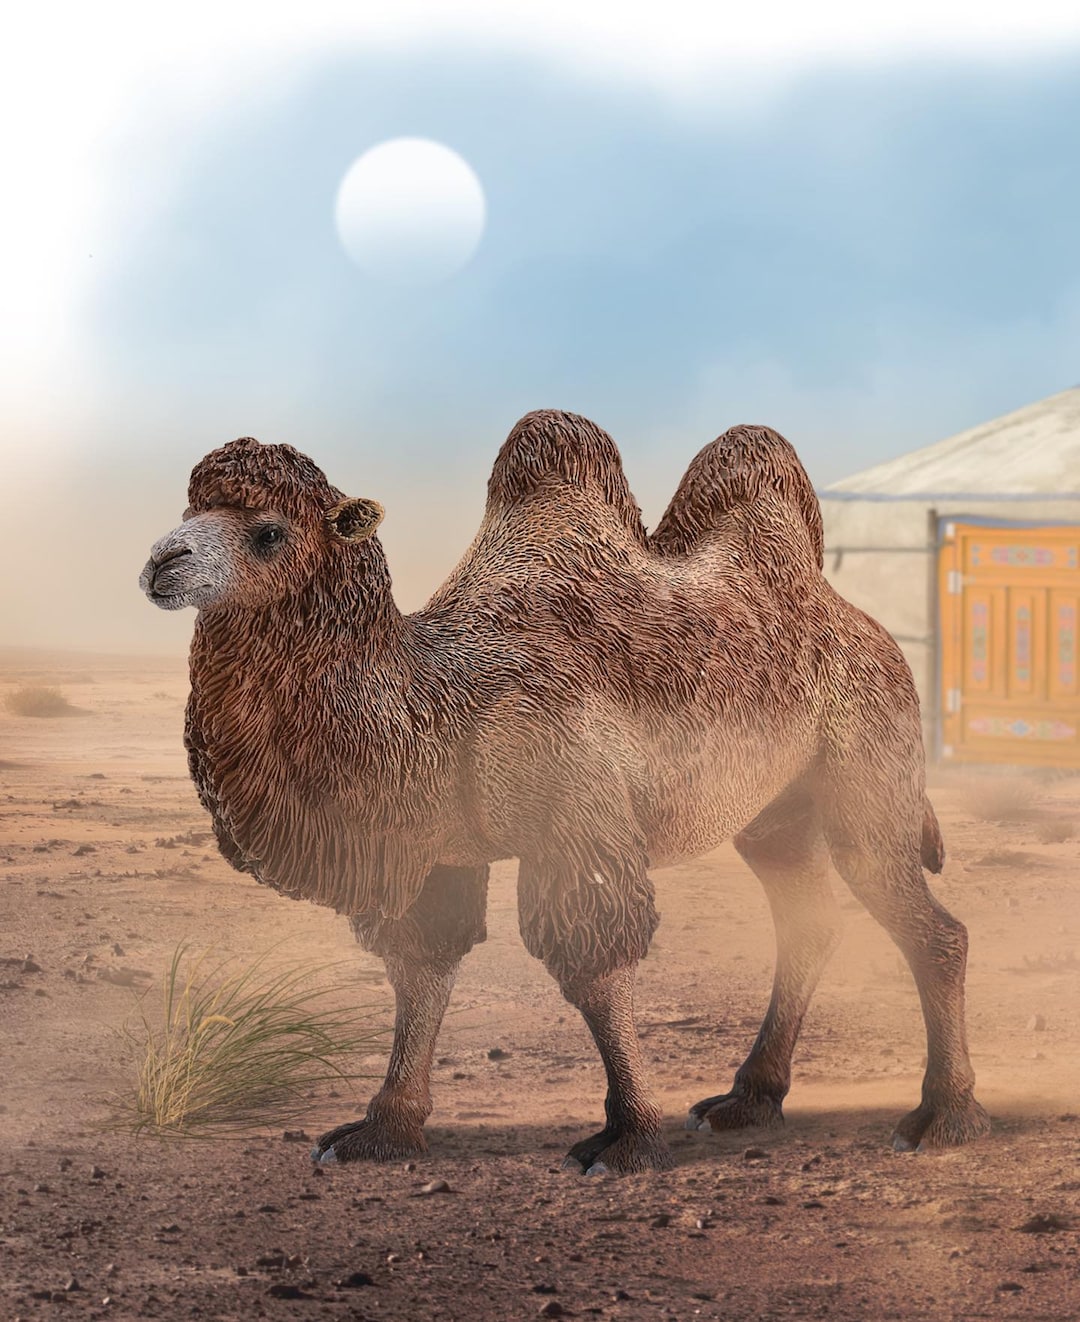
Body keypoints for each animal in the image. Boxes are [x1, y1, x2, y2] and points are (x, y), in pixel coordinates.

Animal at [139, 409, 989, 1174]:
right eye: (187, 510)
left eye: (269, 531)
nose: (160, 563)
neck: (429, 706)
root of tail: (860, 624)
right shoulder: (440, 850)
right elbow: (422, 965)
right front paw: (384, 1130)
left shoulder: (574, 817)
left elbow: (594, 969)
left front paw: (629, 1138)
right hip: (775, 814)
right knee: (808, 921)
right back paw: (748, 1099)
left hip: (868, 768)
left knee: (933, 930)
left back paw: (943, 1117)